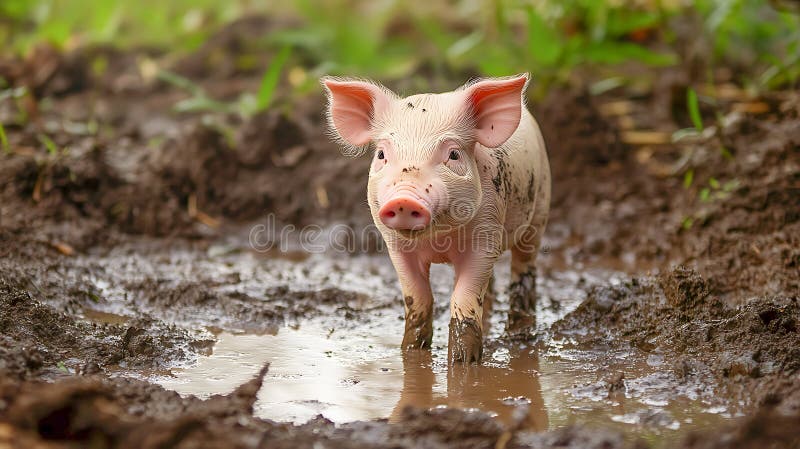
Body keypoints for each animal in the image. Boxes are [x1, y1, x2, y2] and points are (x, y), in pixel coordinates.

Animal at [322, 74, 550, 363]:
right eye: (382, 155)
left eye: (453, 154)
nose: (404, 199)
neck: (438, 240)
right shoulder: (396, 248)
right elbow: (418, 297)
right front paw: (410, 351)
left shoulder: (486, 236)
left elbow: (463, 297)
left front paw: (463, 363)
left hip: (539, 210)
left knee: (524, 269)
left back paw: (520, 334)